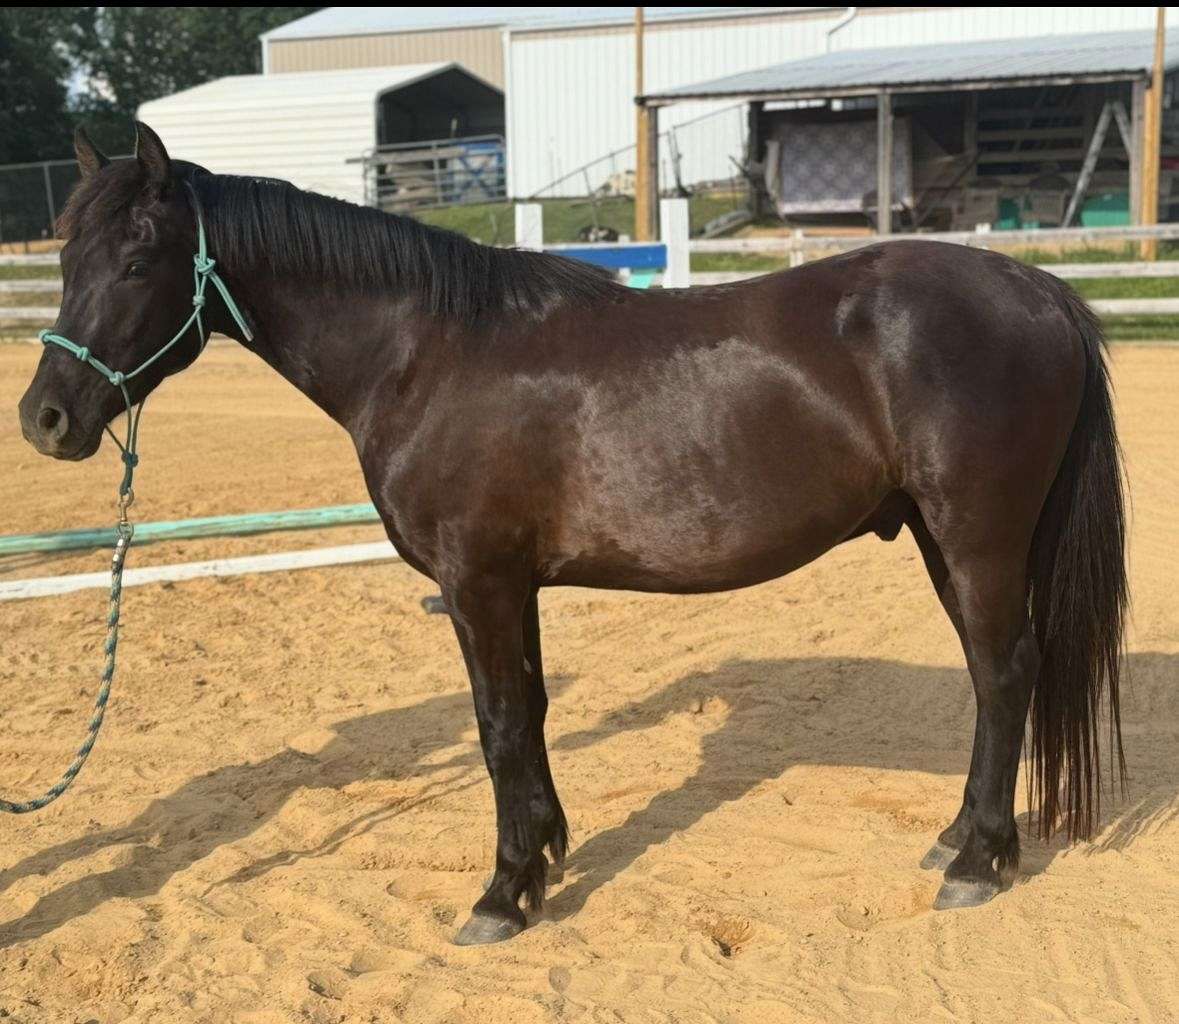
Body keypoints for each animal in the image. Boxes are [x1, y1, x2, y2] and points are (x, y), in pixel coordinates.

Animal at [18, 123, 1126, 946]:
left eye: (136, 260)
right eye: (64, 257)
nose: (46, 419)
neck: (426, 352)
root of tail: (1042, 292)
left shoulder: (477, 582)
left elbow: (499, 724)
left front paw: (501, 893)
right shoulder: (513, 585)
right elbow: (534, 715)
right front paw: (544, 859)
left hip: (977, 541)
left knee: (1006, 673)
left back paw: (979, 861)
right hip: (945, 542)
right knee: (992, 678)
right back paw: (957, 839)